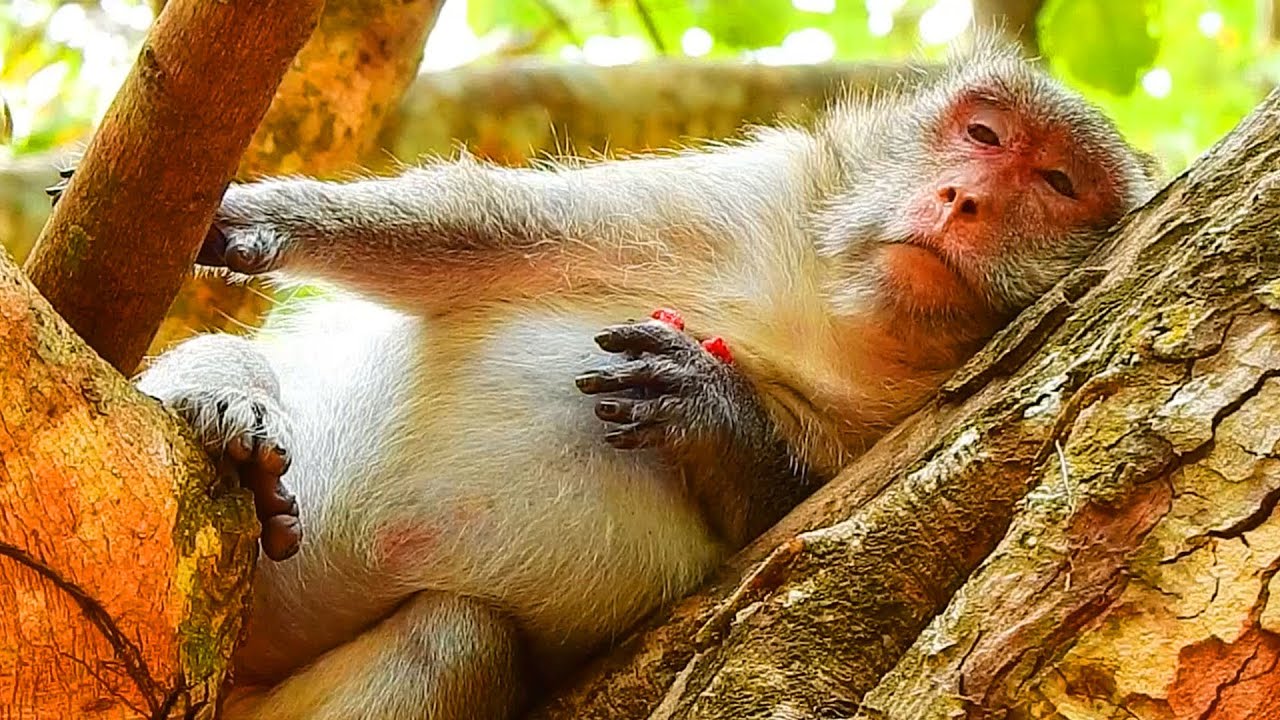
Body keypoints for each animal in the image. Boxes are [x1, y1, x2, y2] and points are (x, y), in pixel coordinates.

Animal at [64, 39, 1158, 720]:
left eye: (1056, 184)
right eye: (982, 136)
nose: (964, 199)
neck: (844, 320)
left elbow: (801, 536)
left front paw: (717, 414)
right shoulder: (758, 196)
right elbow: (485, 237)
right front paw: (256, 219)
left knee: (459, 641)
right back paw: (230, 418)